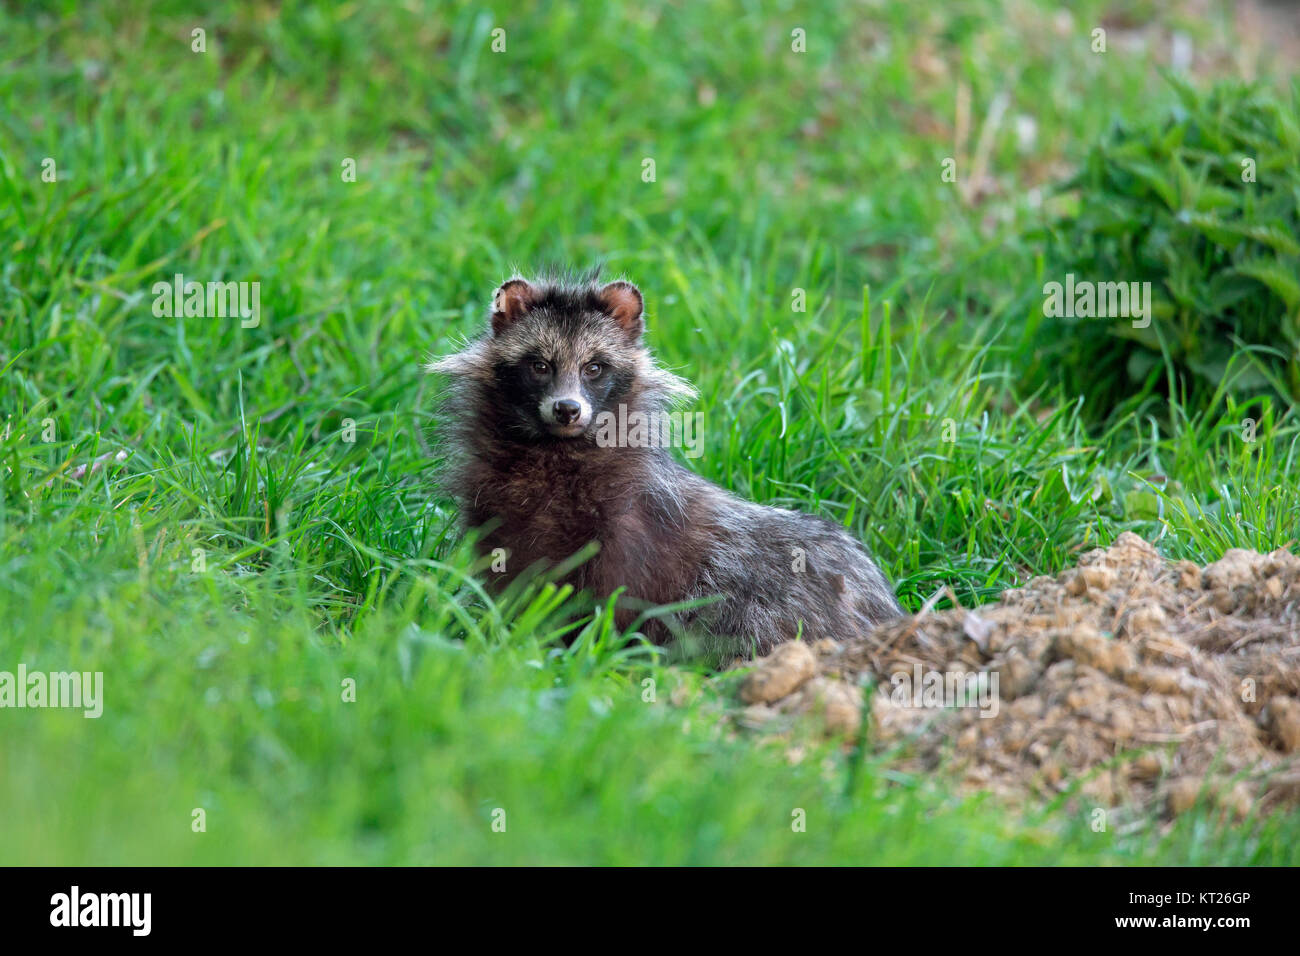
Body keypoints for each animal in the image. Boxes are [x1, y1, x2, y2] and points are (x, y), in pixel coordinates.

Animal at [428, 270, 902, 657]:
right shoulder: (497, 512)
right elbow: (509, 579)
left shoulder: (631, 524)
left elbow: (617, 595)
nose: (567, 409)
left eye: (594, 367)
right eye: (539, 365)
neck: (554, 450)